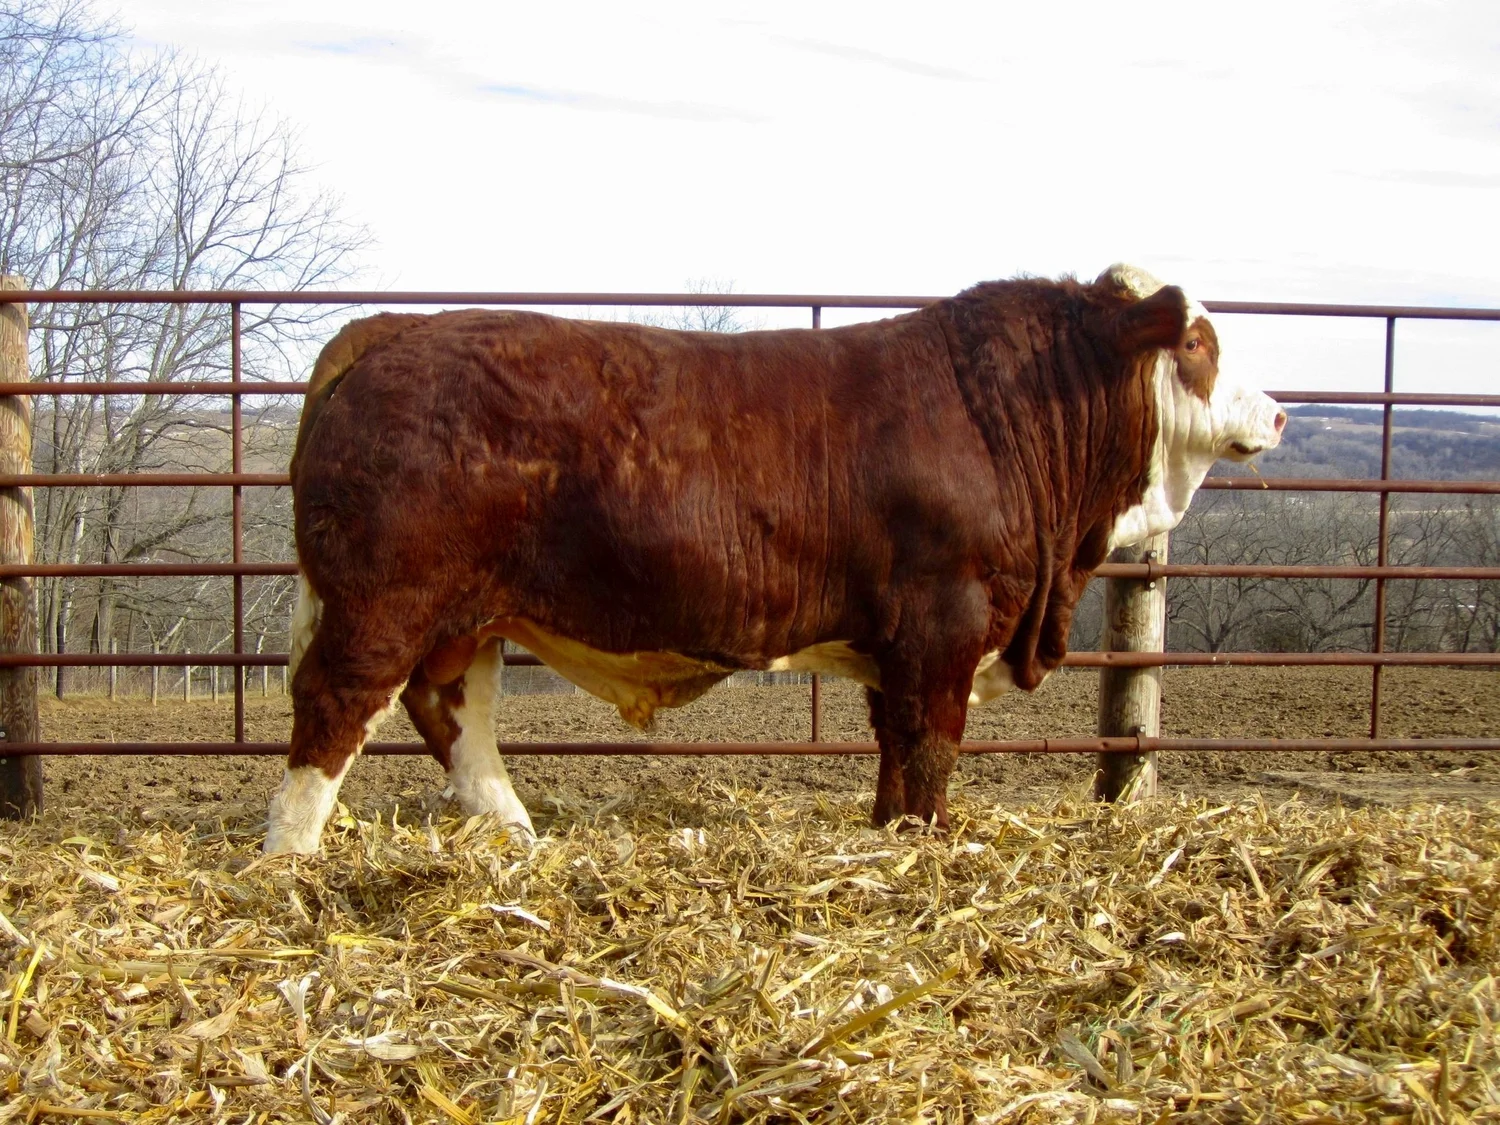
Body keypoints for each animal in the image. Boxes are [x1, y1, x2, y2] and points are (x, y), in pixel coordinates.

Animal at [264, 265, 1285, 854]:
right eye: (1198, 340)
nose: (1278, 411)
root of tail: (397, 327)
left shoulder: (898, 642)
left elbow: (895, 745)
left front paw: (889, 835)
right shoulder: (943, 622)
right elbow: (931, 745)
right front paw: (926, 843)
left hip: (471, 613)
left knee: (453, 712)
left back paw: (519, 837)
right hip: (385, 600)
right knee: (335, 707)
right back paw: (291, 860)